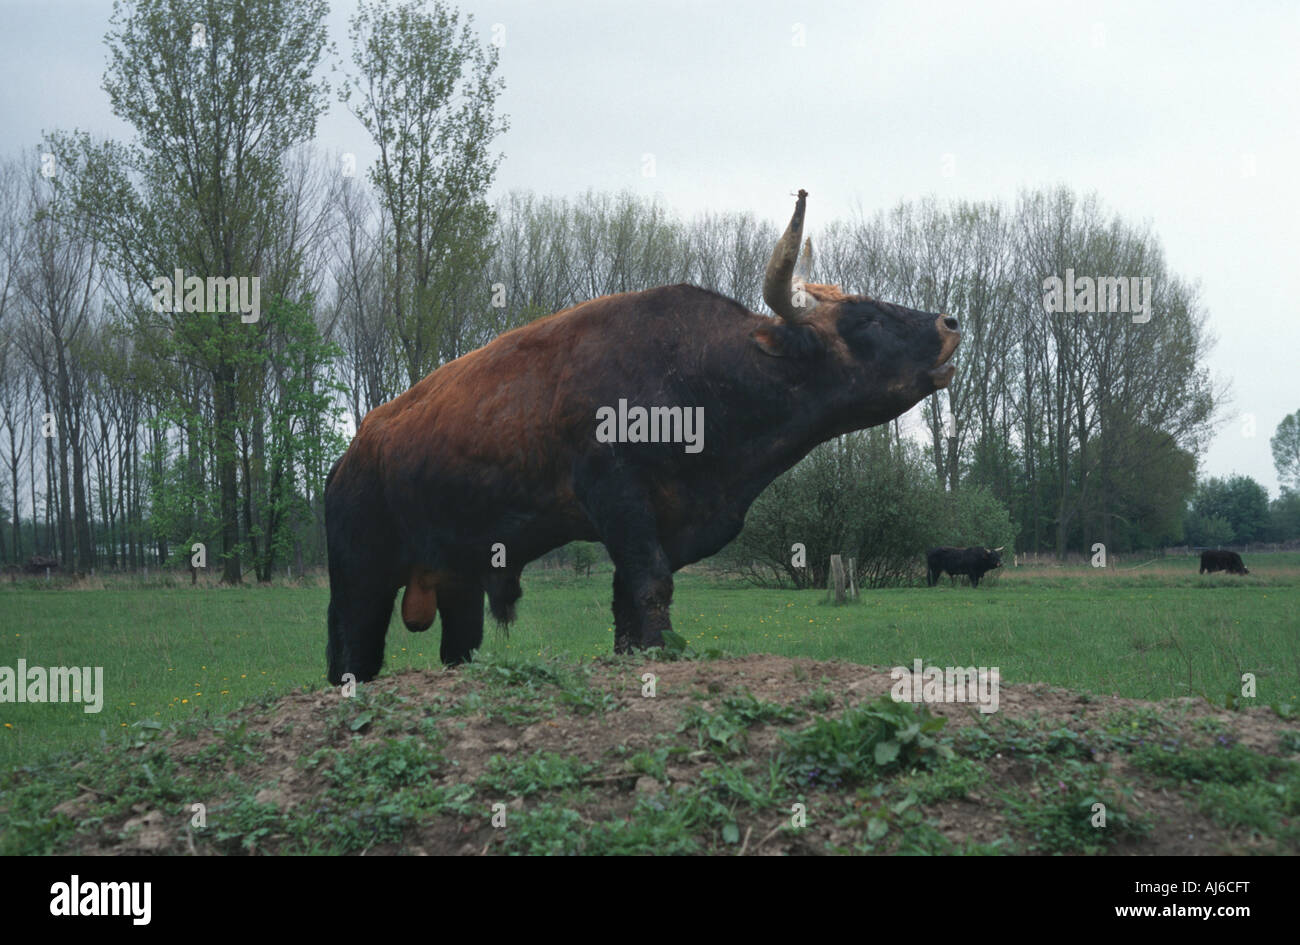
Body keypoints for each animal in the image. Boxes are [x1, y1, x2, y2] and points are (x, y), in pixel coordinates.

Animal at [325, 190, 962, 684]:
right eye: (865, 320)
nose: (949, 323)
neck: (695, 372)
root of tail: (353, 449)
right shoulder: (618, 495)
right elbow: (649, 582)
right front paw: (657, 654)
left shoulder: (678, 519)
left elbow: (629, 591)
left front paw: (634, 655)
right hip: (360, 572)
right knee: (350, 648)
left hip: (460, 577)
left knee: (456, 647)